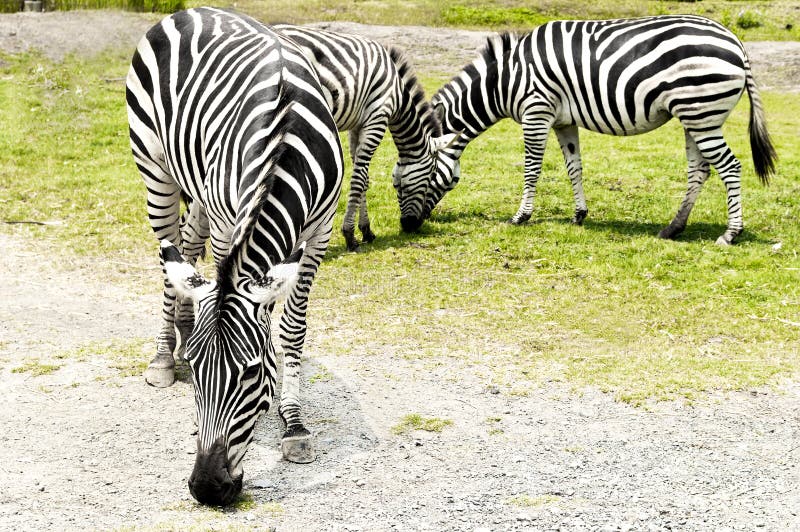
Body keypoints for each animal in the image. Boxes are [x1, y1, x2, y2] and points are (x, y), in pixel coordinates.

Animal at [126, 7, 343, 506]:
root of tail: (190, 10)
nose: (208, 488)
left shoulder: (319, 232)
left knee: (187, 249)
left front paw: (294, 424)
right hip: (156, 168)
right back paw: (164, 355)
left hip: (198, 184)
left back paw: (186, 324)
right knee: (168, 257)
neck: (284, 147)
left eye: (252, 373)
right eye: (199, 375)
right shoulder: (230, 226)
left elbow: (292, 329)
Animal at [274, 24, 455, 250]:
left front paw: (366, 230)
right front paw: (350, 235)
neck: (398, 96)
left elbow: (365, 178)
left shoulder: (357, 126)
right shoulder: (377, 117)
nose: (413, 226)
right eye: (432, 176)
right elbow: (358, 179)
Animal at [414, 15, 777, 245]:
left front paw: (520, 216)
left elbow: (531, 169)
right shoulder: (563, 120)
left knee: (730, 167)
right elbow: (574, 167)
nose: (414, 224)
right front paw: (579, 214)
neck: (504, 81)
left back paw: (731, 233)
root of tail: (737, 43)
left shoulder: (536, 111)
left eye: (419, 172)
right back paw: (673, 229)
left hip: (701, 112)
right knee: (700, 170)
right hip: (696, 116)